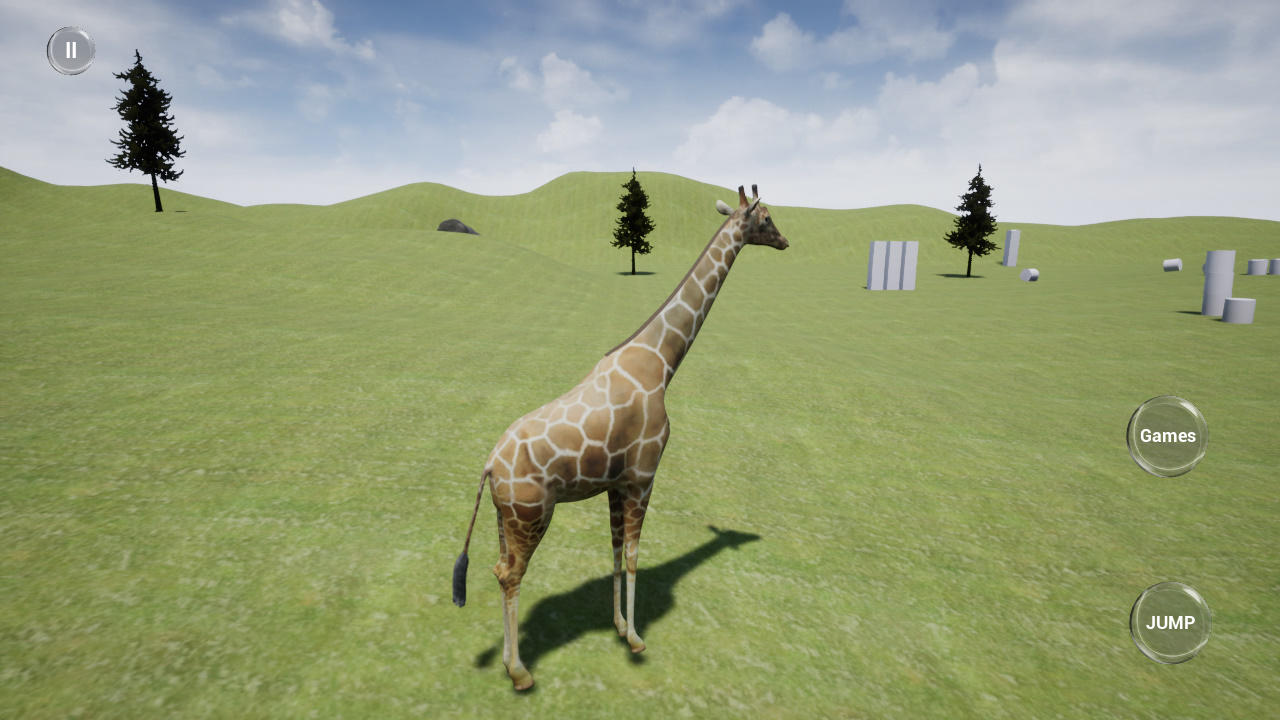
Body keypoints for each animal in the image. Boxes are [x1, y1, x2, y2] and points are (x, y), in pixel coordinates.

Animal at [452, 183, 789, 691]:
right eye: (765, 218)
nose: (786, 241)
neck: (662, 363)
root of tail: (489, 465)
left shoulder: (615, 483)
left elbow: (612, 552)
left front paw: (616, 625)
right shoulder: (644, 475)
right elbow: (632, 556)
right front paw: (635, 639)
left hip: (503, 518)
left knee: (497, 569)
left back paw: (511, 662)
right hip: (532, 514)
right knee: (512, 575)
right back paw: (520, 672)